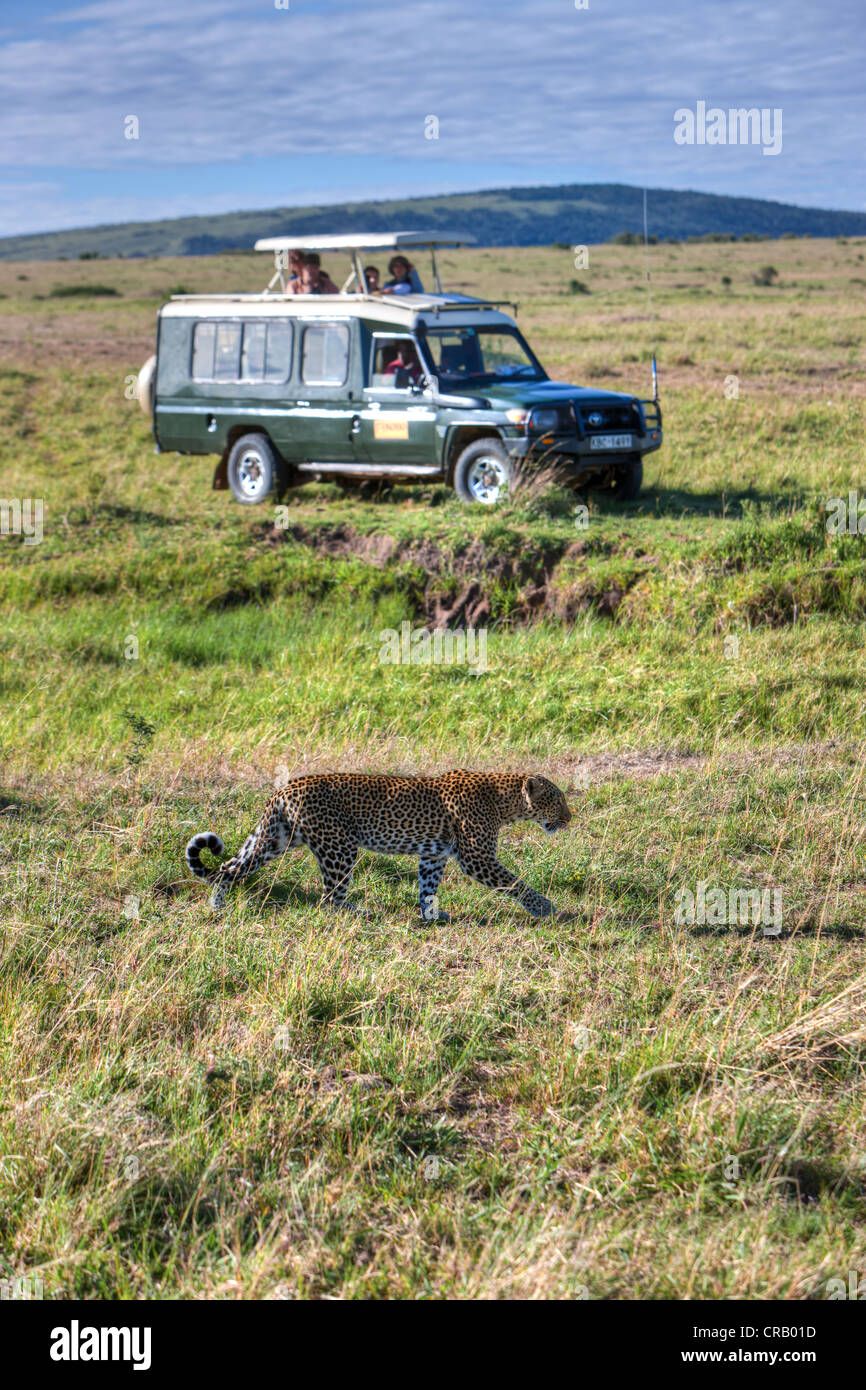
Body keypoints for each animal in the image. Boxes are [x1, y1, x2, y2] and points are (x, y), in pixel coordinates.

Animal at [185, 770, 572, 919]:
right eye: (557, 800)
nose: (570, 818)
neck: (505, 802)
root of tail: (285, 788)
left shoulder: (434, 855)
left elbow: (427, 888)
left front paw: (431, 915)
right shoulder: (476, 857)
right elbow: (515, 882)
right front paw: (546, 908)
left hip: (275, 839)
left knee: (229, 868)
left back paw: (216, 904)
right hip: (339, 847)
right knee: (329, 897)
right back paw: (356, 912)